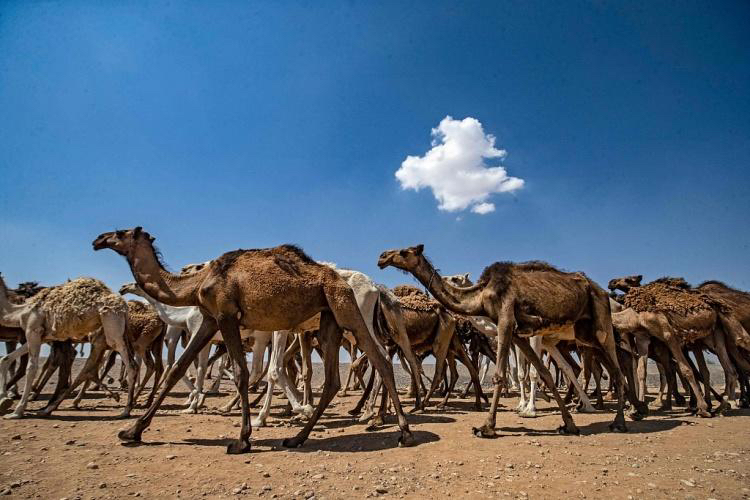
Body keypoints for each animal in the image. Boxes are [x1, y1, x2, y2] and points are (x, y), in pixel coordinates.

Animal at [0, 275, 137, 418]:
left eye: (23, 289)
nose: (123, 288)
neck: (18, 312)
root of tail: (124, 307)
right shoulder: (41, 337)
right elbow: (5, 359)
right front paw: (4, 399)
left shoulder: (33, 331)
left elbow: (31, 368)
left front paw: (17, 411)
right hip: (115, 332)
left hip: (111, 326)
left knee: (128, 365)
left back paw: (125, 409)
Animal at [93, 227, 413, 453]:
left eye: (120, 232)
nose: (98, 239)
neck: (197, 284)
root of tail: (372, 285)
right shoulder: (210, 319)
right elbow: (178, 368)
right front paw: (133, 430)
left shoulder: (227, 316)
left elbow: (242, 372)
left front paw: (242, 438)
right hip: (328, 319)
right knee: (335, 378)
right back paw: (297, 437)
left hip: (346, 309)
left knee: (380, 359)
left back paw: (402, 430)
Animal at [378, 244, 645, 438]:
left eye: (404, 251)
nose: (382, 257)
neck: (482, 294)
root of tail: (603, 292)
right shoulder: (519, 333)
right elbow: (542, 373)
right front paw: (568, 424)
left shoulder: (506, 320)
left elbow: (501, 374)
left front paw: (487, 427)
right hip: (584, 334)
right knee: (605, 365)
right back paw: (619, 409)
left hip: (600, 324)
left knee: (617, 367)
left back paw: (620, 420)